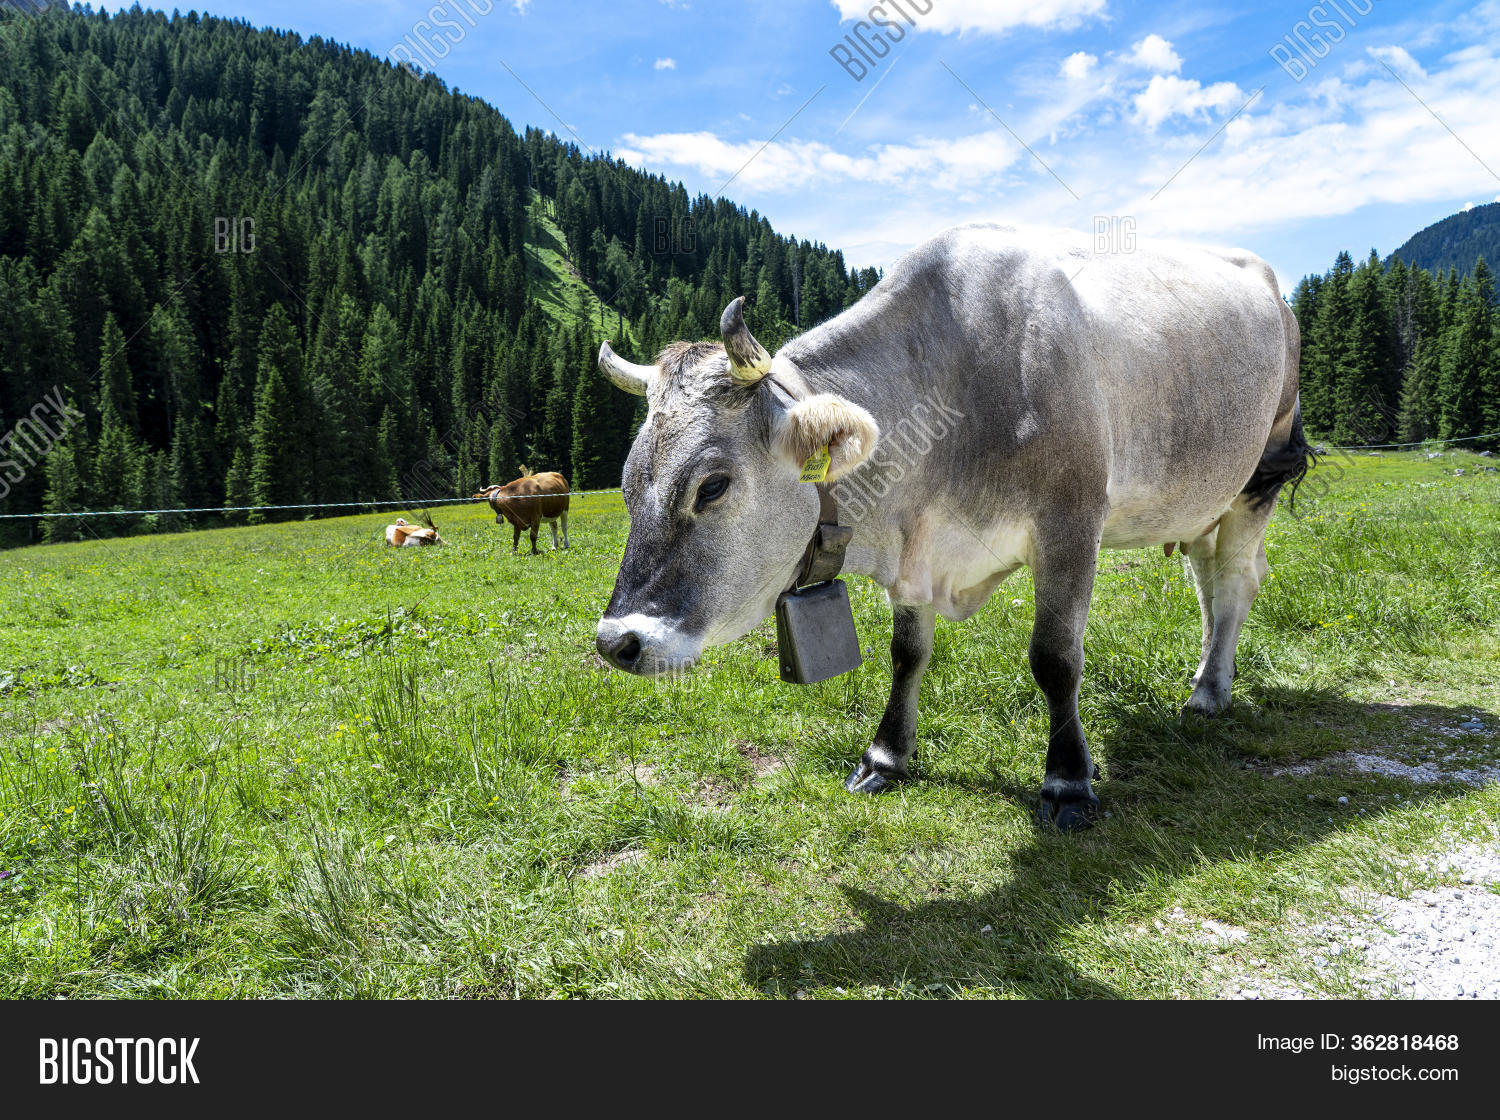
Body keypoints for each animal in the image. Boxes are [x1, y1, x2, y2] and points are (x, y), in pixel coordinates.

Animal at [591, 222, 1314, 831]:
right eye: (626, 483)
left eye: (712, 486)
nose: (617, 643)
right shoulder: (917, 550)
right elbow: (906, 653)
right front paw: (885, 756)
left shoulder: (1071, 523)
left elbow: (1055, 658)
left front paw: (1067, 782)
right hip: (1200, 497)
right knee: (1206, 578)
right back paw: (1205, 674)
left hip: (1260, 472)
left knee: (1235, 581)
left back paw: (1211, 691)